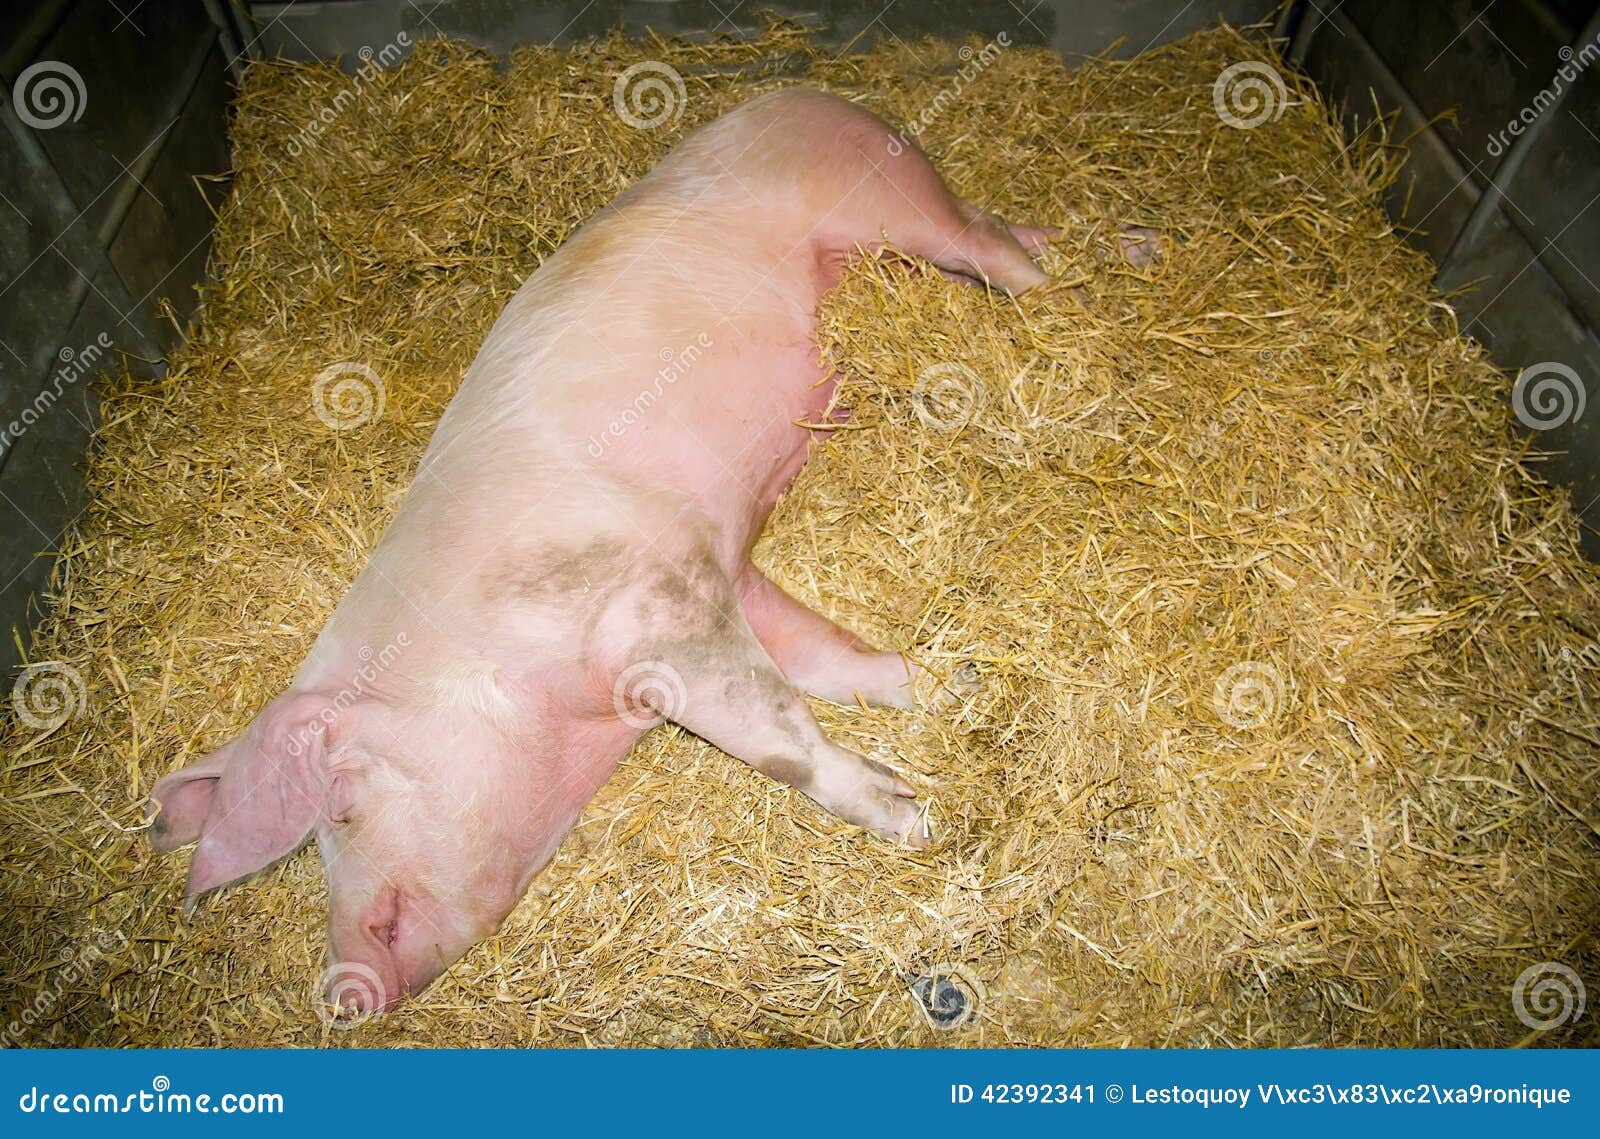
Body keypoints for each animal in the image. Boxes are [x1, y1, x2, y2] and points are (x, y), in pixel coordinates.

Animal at [146, 87, 1067, 1017]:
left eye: (337, 808)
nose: (345, 994)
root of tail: (803, 92)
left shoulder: (658, 593)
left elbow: (778, 739)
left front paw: (914, 819)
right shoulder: (723, 570)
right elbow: (829, 660)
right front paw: (955, 684)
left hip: (888, 195)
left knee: (986, 244)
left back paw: (1069, 300)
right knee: (997, 228)